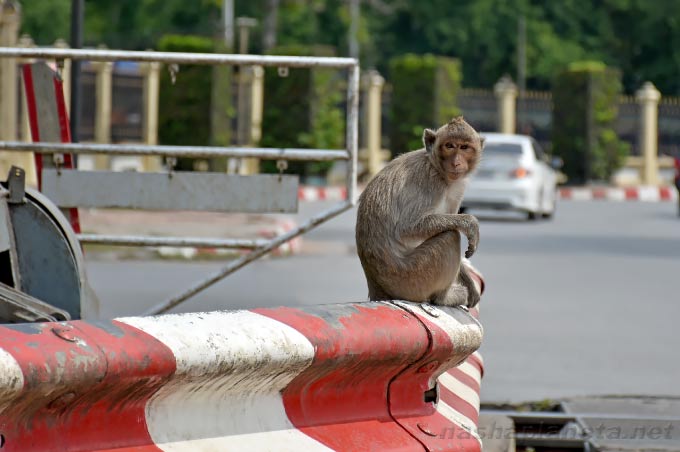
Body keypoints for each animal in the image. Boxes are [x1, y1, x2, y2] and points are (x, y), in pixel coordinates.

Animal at [355, 116, 483, 307]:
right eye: (450, 146)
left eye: (464, 147)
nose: (456, 162)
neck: (439, 171)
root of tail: (377, 288)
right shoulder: (429, 182)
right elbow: (406, 228)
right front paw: (470, 223)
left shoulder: (458, 188)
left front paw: (469, 282)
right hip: (412, 278)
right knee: (450, 236)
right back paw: (443, 298)